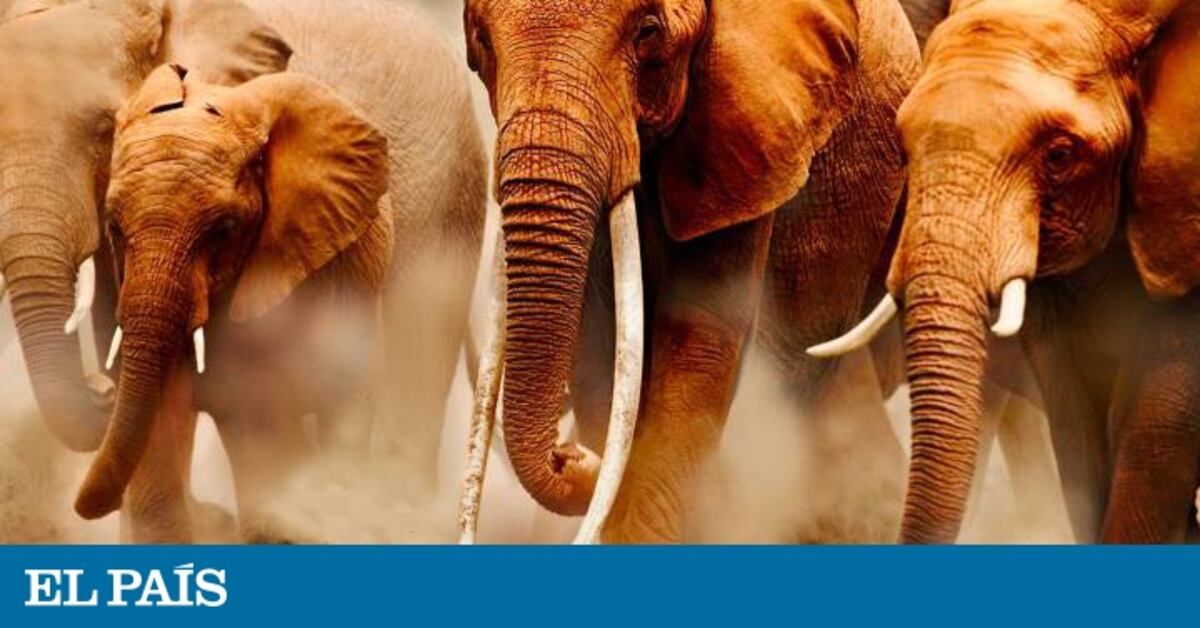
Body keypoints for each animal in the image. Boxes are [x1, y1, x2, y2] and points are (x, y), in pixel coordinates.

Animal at [457, 0, 923, 544]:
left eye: (647, 32)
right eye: (481, 41)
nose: (573, 457)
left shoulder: (745, 136)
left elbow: (699, 337)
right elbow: (601, 352)